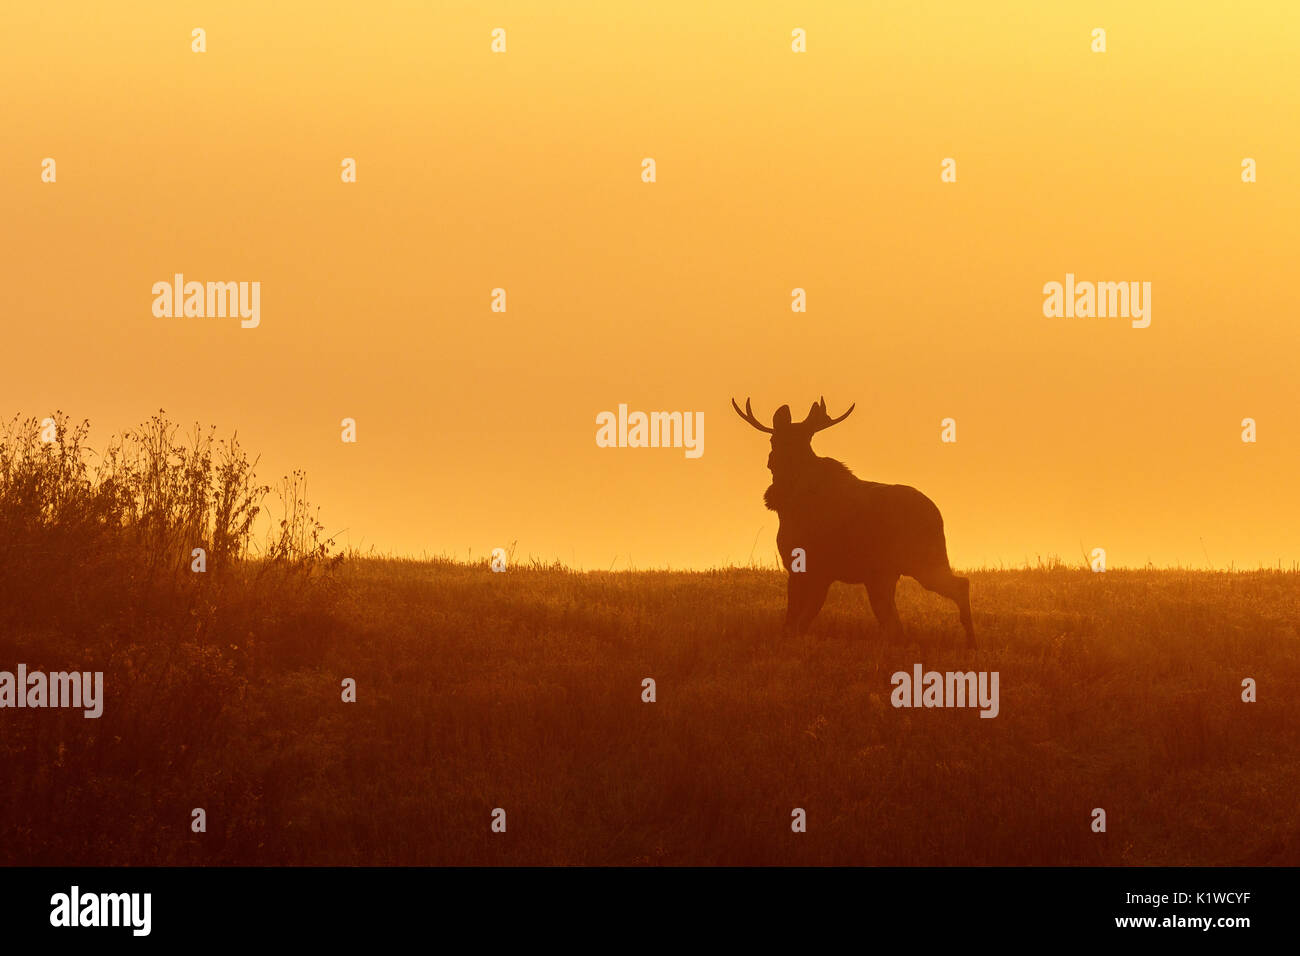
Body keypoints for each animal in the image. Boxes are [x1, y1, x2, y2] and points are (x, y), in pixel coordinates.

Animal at [732, 396, 974, 647]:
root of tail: (937, 516)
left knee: (958, 586)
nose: (773, 461)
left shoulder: (807, 566)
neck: (787, 505)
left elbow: (795, 619)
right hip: (888, 572)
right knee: (894, 621)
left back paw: (971, 642)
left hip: (921, 561)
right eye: (774, 439)